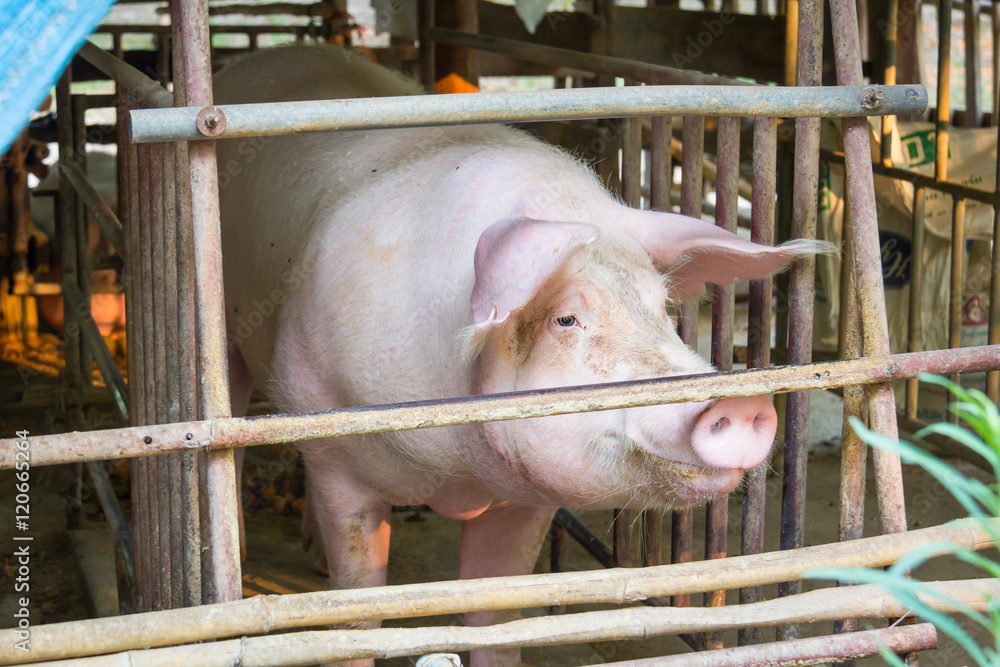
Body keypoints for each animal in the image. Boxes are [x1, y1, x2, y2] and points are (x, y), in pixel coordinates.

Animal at [214, 44, 825, 667]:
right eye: (567, 319)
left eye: (661, 309)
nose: (744, 402)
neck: (456, 474)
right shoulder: (335, 450)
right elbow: (357, 612)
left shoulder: (527, 500)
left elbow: (497, 616)